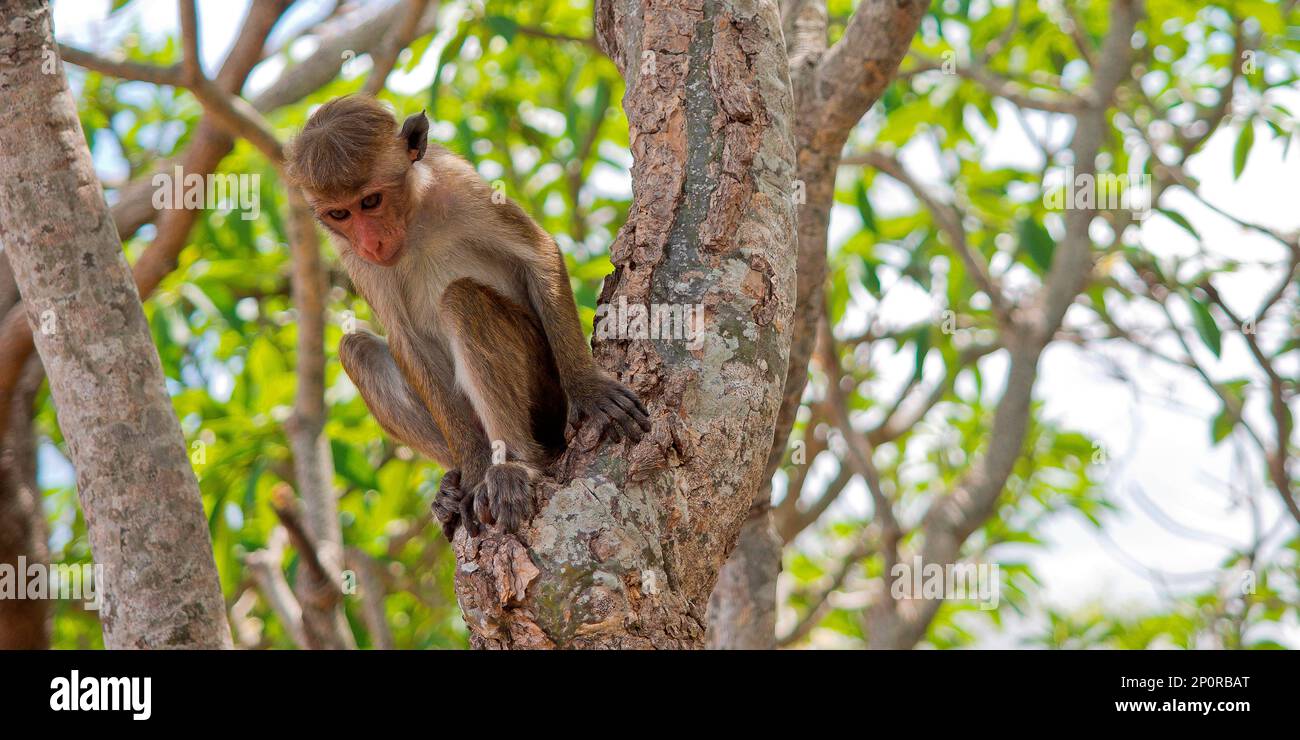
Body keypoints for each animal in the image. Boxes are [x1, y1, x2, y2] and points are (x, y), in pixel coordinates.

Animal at [284, 95, 650, 538]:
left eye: (370, 201)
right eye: (339, 214)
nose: (371, 243)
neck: (414, 217)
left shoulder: (460, 184)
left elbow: (538, 255)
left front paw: (588, 387)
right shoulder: (352, 255)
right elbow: (406, 341)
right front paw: (473, 472)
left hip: (545, 386)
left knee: (464, 299)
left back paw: (513, 463)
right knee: (358, 349)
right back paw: (461, 480)